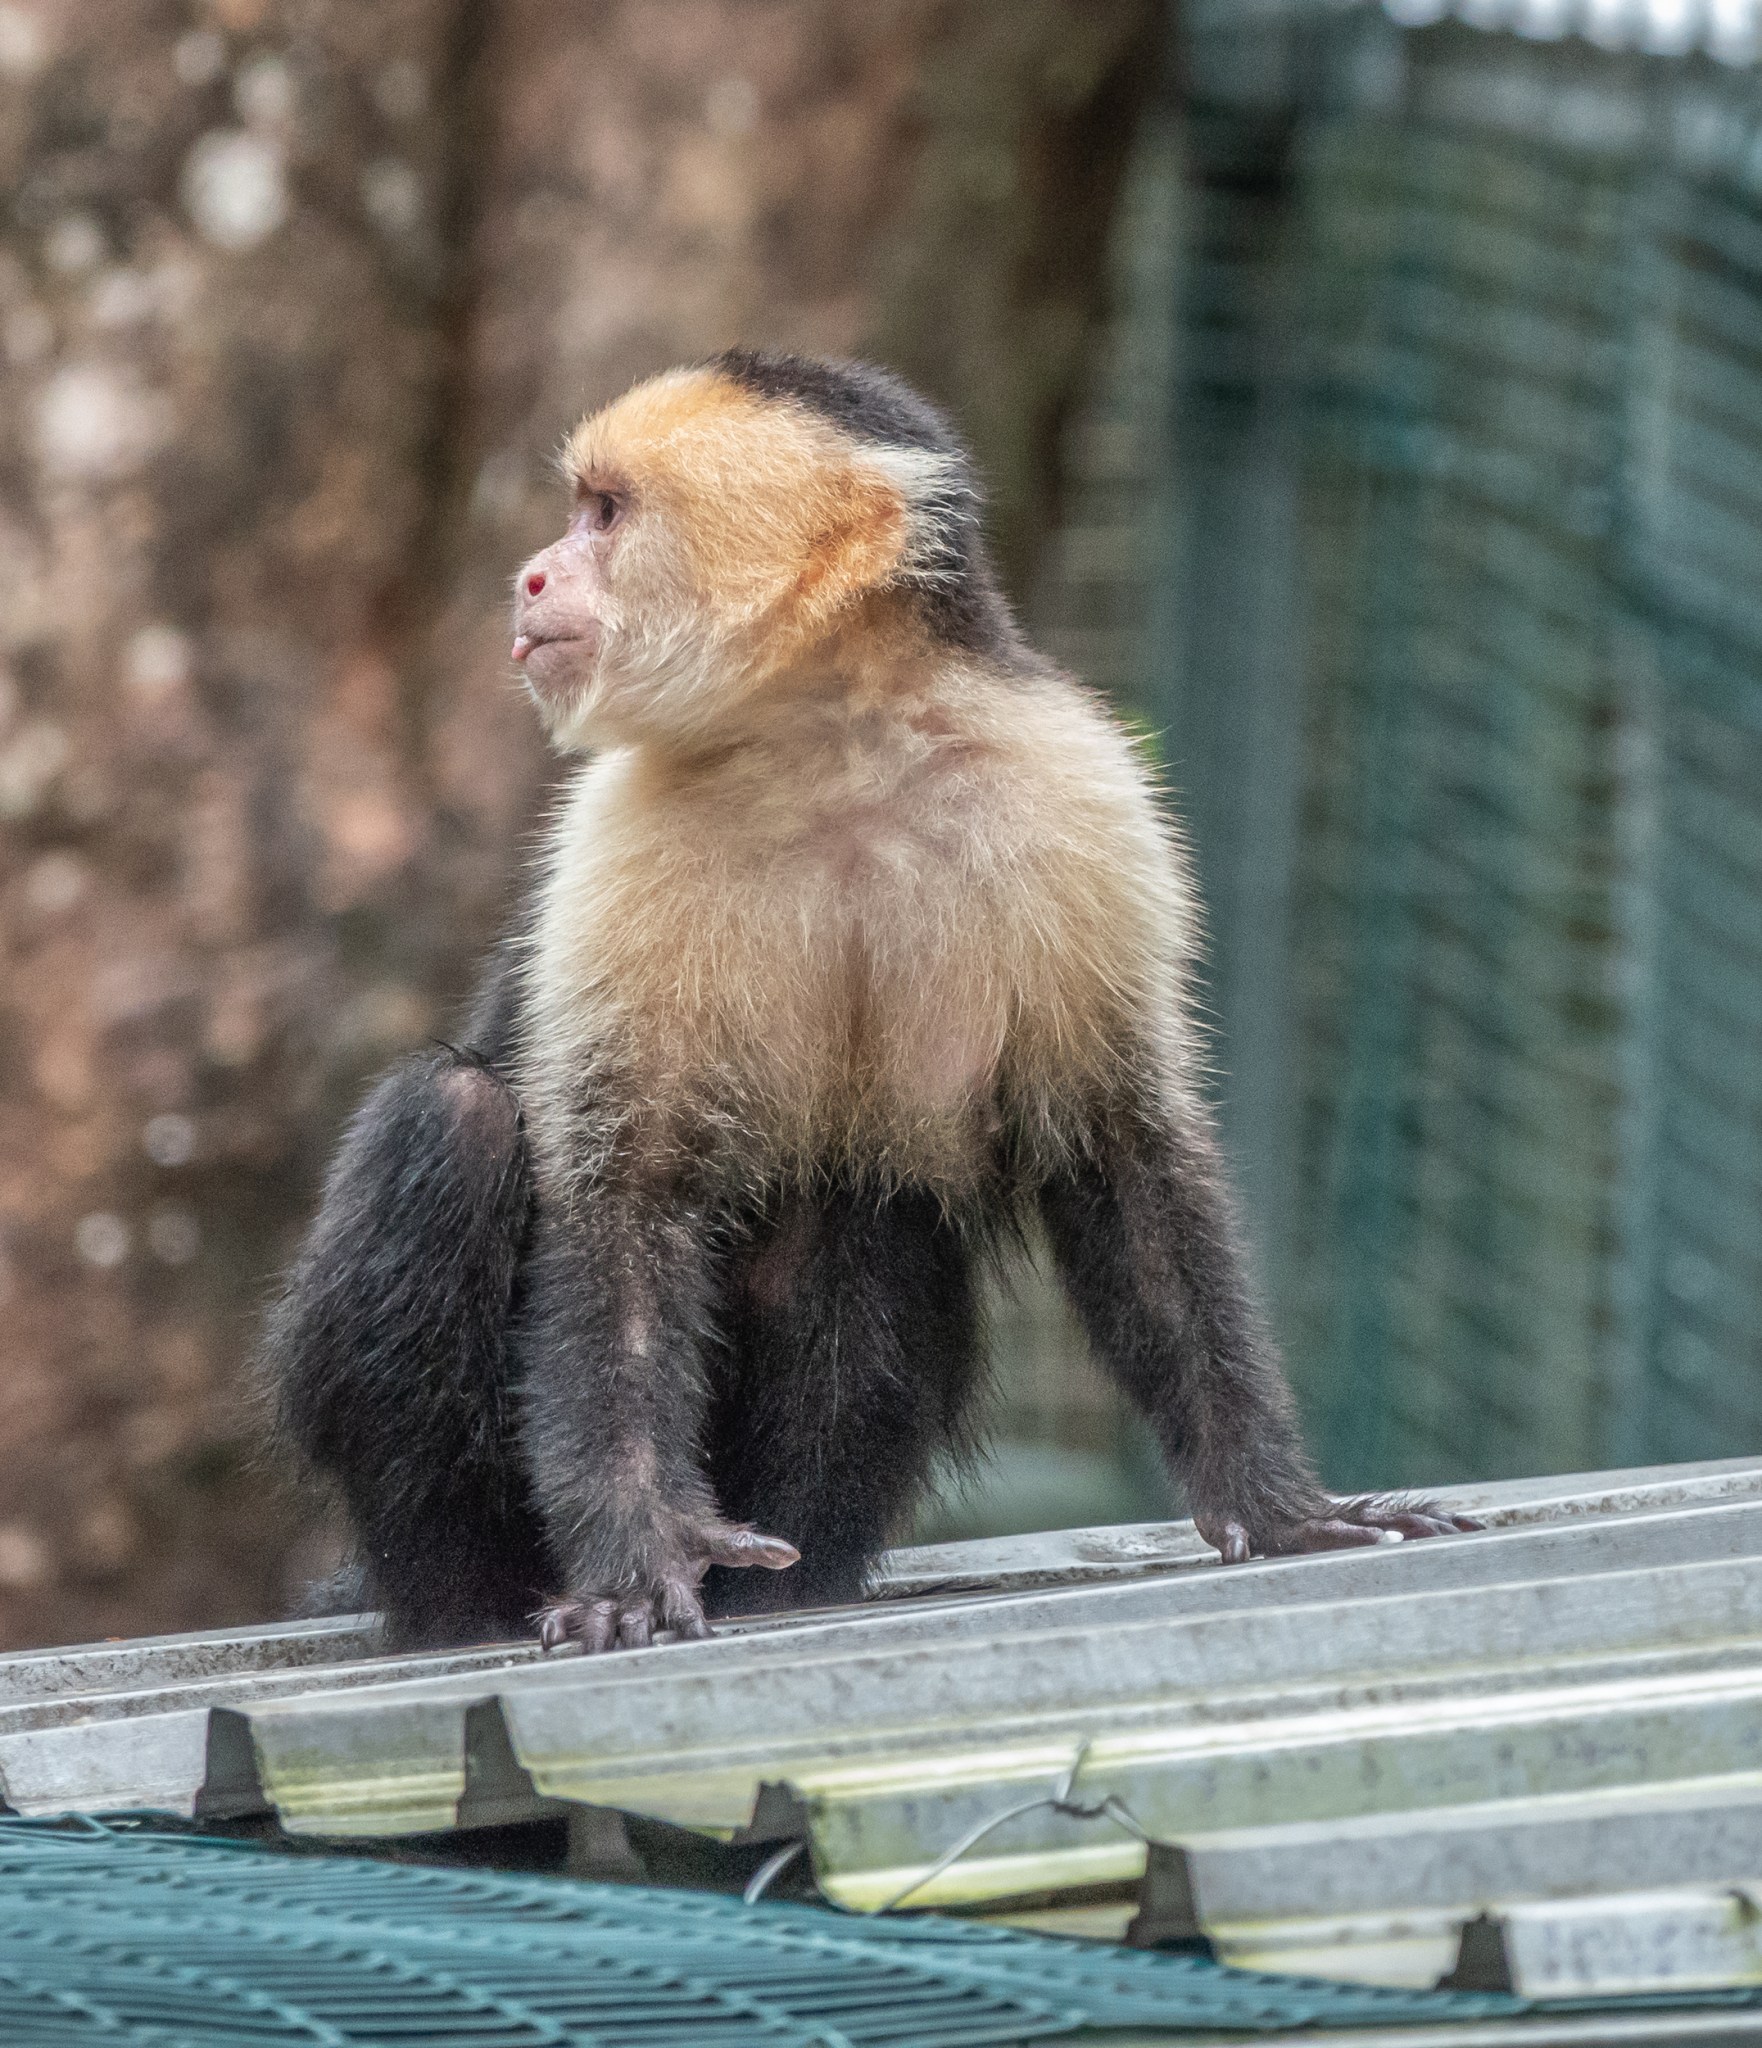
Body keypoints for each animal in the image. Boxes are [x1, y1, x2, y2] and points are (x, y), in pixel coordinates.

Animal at [262, 348, 1475, 1654]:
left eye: (606, 514)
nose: (531, 573)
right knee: (454, 1119)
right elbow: (624, 1196)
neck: (836, 747)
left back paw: (784, 1583)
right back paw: (469, 1598)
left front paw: (1280, 1502)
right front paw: (641, 1546)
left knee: (866, 1194)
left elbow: (1121, 1153)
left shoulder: (1076, 789)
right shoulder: (622, 824)